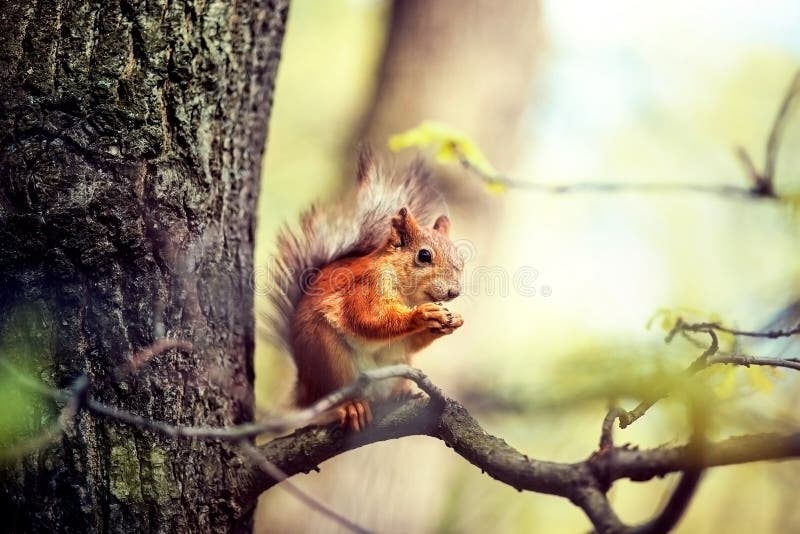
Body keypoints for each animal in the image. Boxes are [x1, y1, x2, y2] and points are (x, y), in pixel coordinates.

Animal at [268, 148, 464, 431]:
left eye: (461, 258)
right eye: (424, 255)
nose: (454, 292)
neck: (406, 293)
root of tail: (306, 390)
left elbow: (408, 340)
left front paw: (451, 321)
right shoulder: (367, 286)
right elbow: (367, 319)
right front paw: (422, 315)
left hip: (397, 362)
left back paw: (400, 392)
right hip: (327, 357)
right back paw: (348, 406)